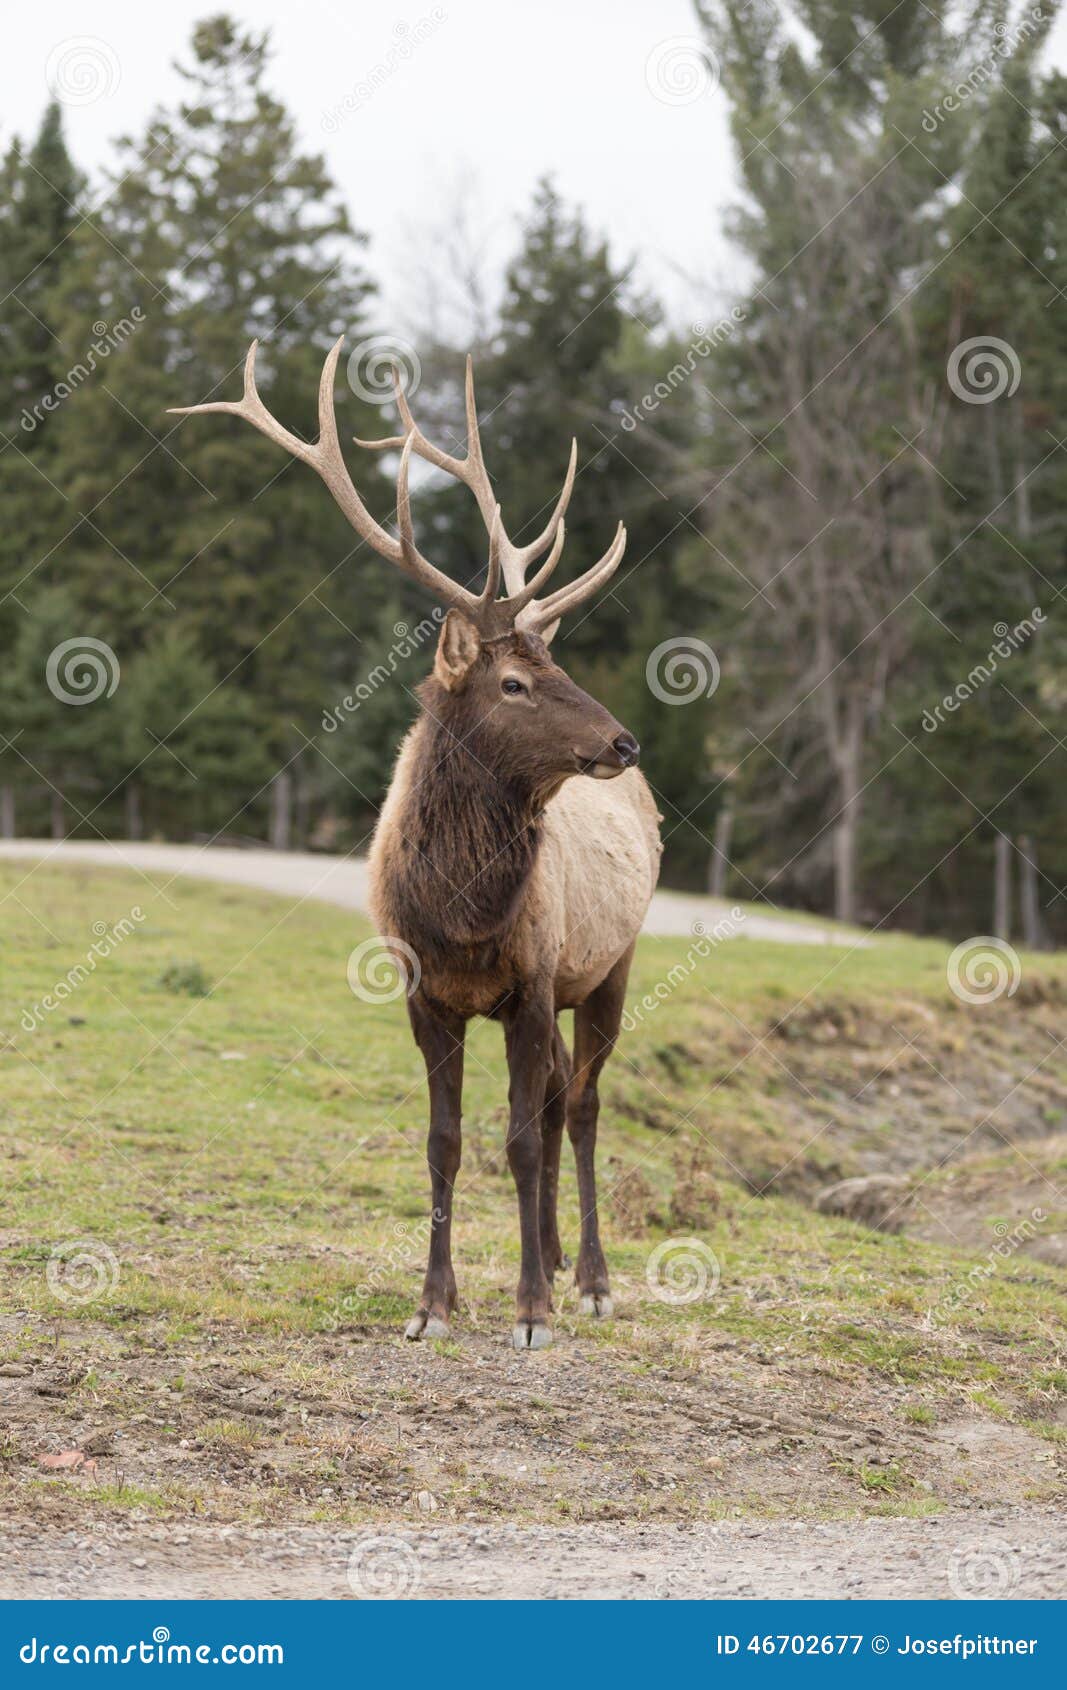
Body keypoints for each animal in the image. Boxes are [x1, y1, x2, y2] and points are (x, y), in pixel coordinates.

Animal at [170, 338, 662, 1349]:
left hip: (611, 962)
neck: (463, 915)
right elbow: (445, 1142)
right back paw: (555, 1253)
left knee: (582, 1103)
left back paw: (589, 1278)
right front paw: (434, 1303)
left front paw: (530, 1310)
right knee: (560, 1092)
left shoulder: (530, 982)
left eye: (555, 664)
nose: (624, 742)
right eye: (514, 681)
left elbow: (517, 1139)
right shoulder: (422, 991)